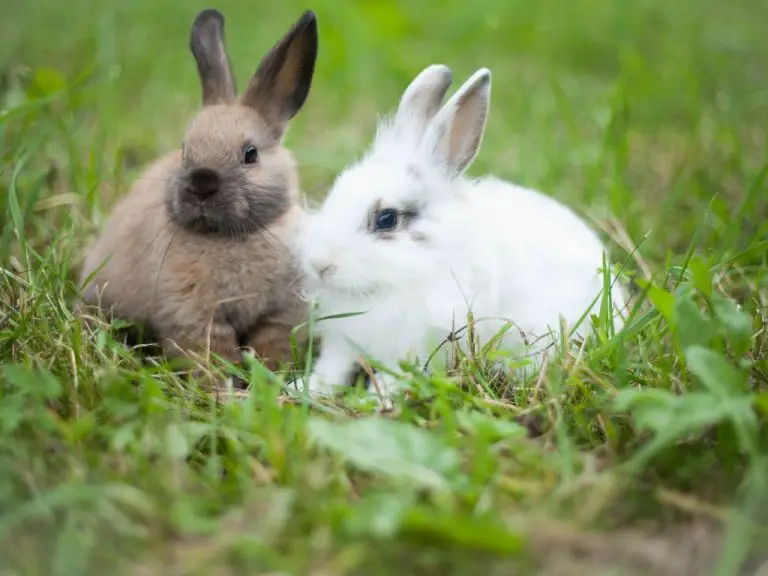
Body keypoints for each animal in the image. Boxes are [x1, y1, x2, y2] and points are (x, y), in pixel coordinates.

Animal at [77, 9, 318, 372]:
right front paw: (224, 384)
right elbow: (210, 354)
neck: (231, 236)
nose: (201, 185)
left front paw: (269, 375)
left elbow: (271, 346)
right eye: (184, 149)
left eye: (250, 154)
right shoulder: (196, 317)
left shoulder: (281, 314)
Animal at [297, 64, 628, 401]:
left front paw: (376, 399)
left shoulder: (420, 346)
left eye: (386, 219)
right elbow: (332, 369)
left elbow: (395, 375)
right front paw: (303, 388)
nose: (319, 264)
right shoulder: (342, 342)